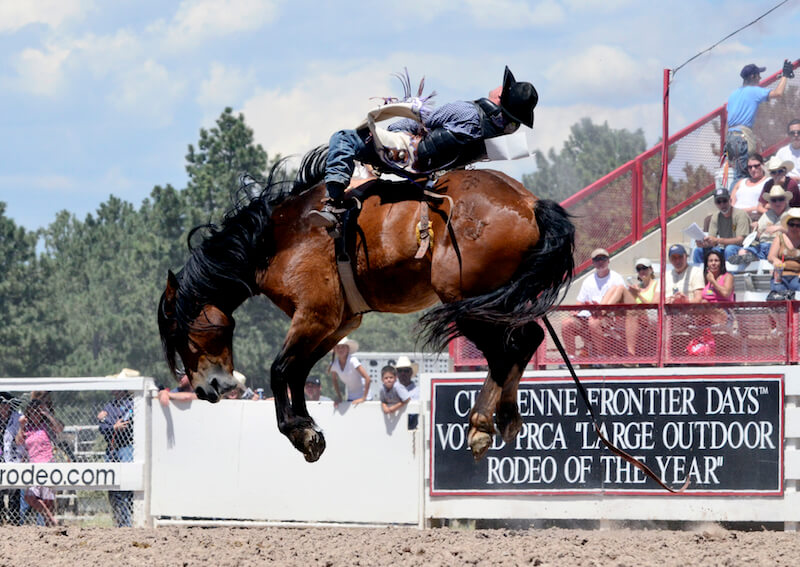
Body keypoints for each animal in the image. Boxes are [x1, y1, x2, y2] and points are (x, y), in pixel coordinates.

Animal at [158, 147, 574, 462]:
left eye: (183, 336)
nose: (206, 390)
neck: (276, 238)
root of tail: (529, 203)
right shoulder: (336, 324)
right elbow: (296, 371)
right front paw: (309, 432)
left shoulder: (313, 315)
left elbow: (279, 370)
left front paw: (299, 432)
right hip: (497, 300)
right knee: (528, 339)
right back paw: (505, 417)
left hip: (465, 300)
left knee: (510, 349)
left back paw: (480, 426)